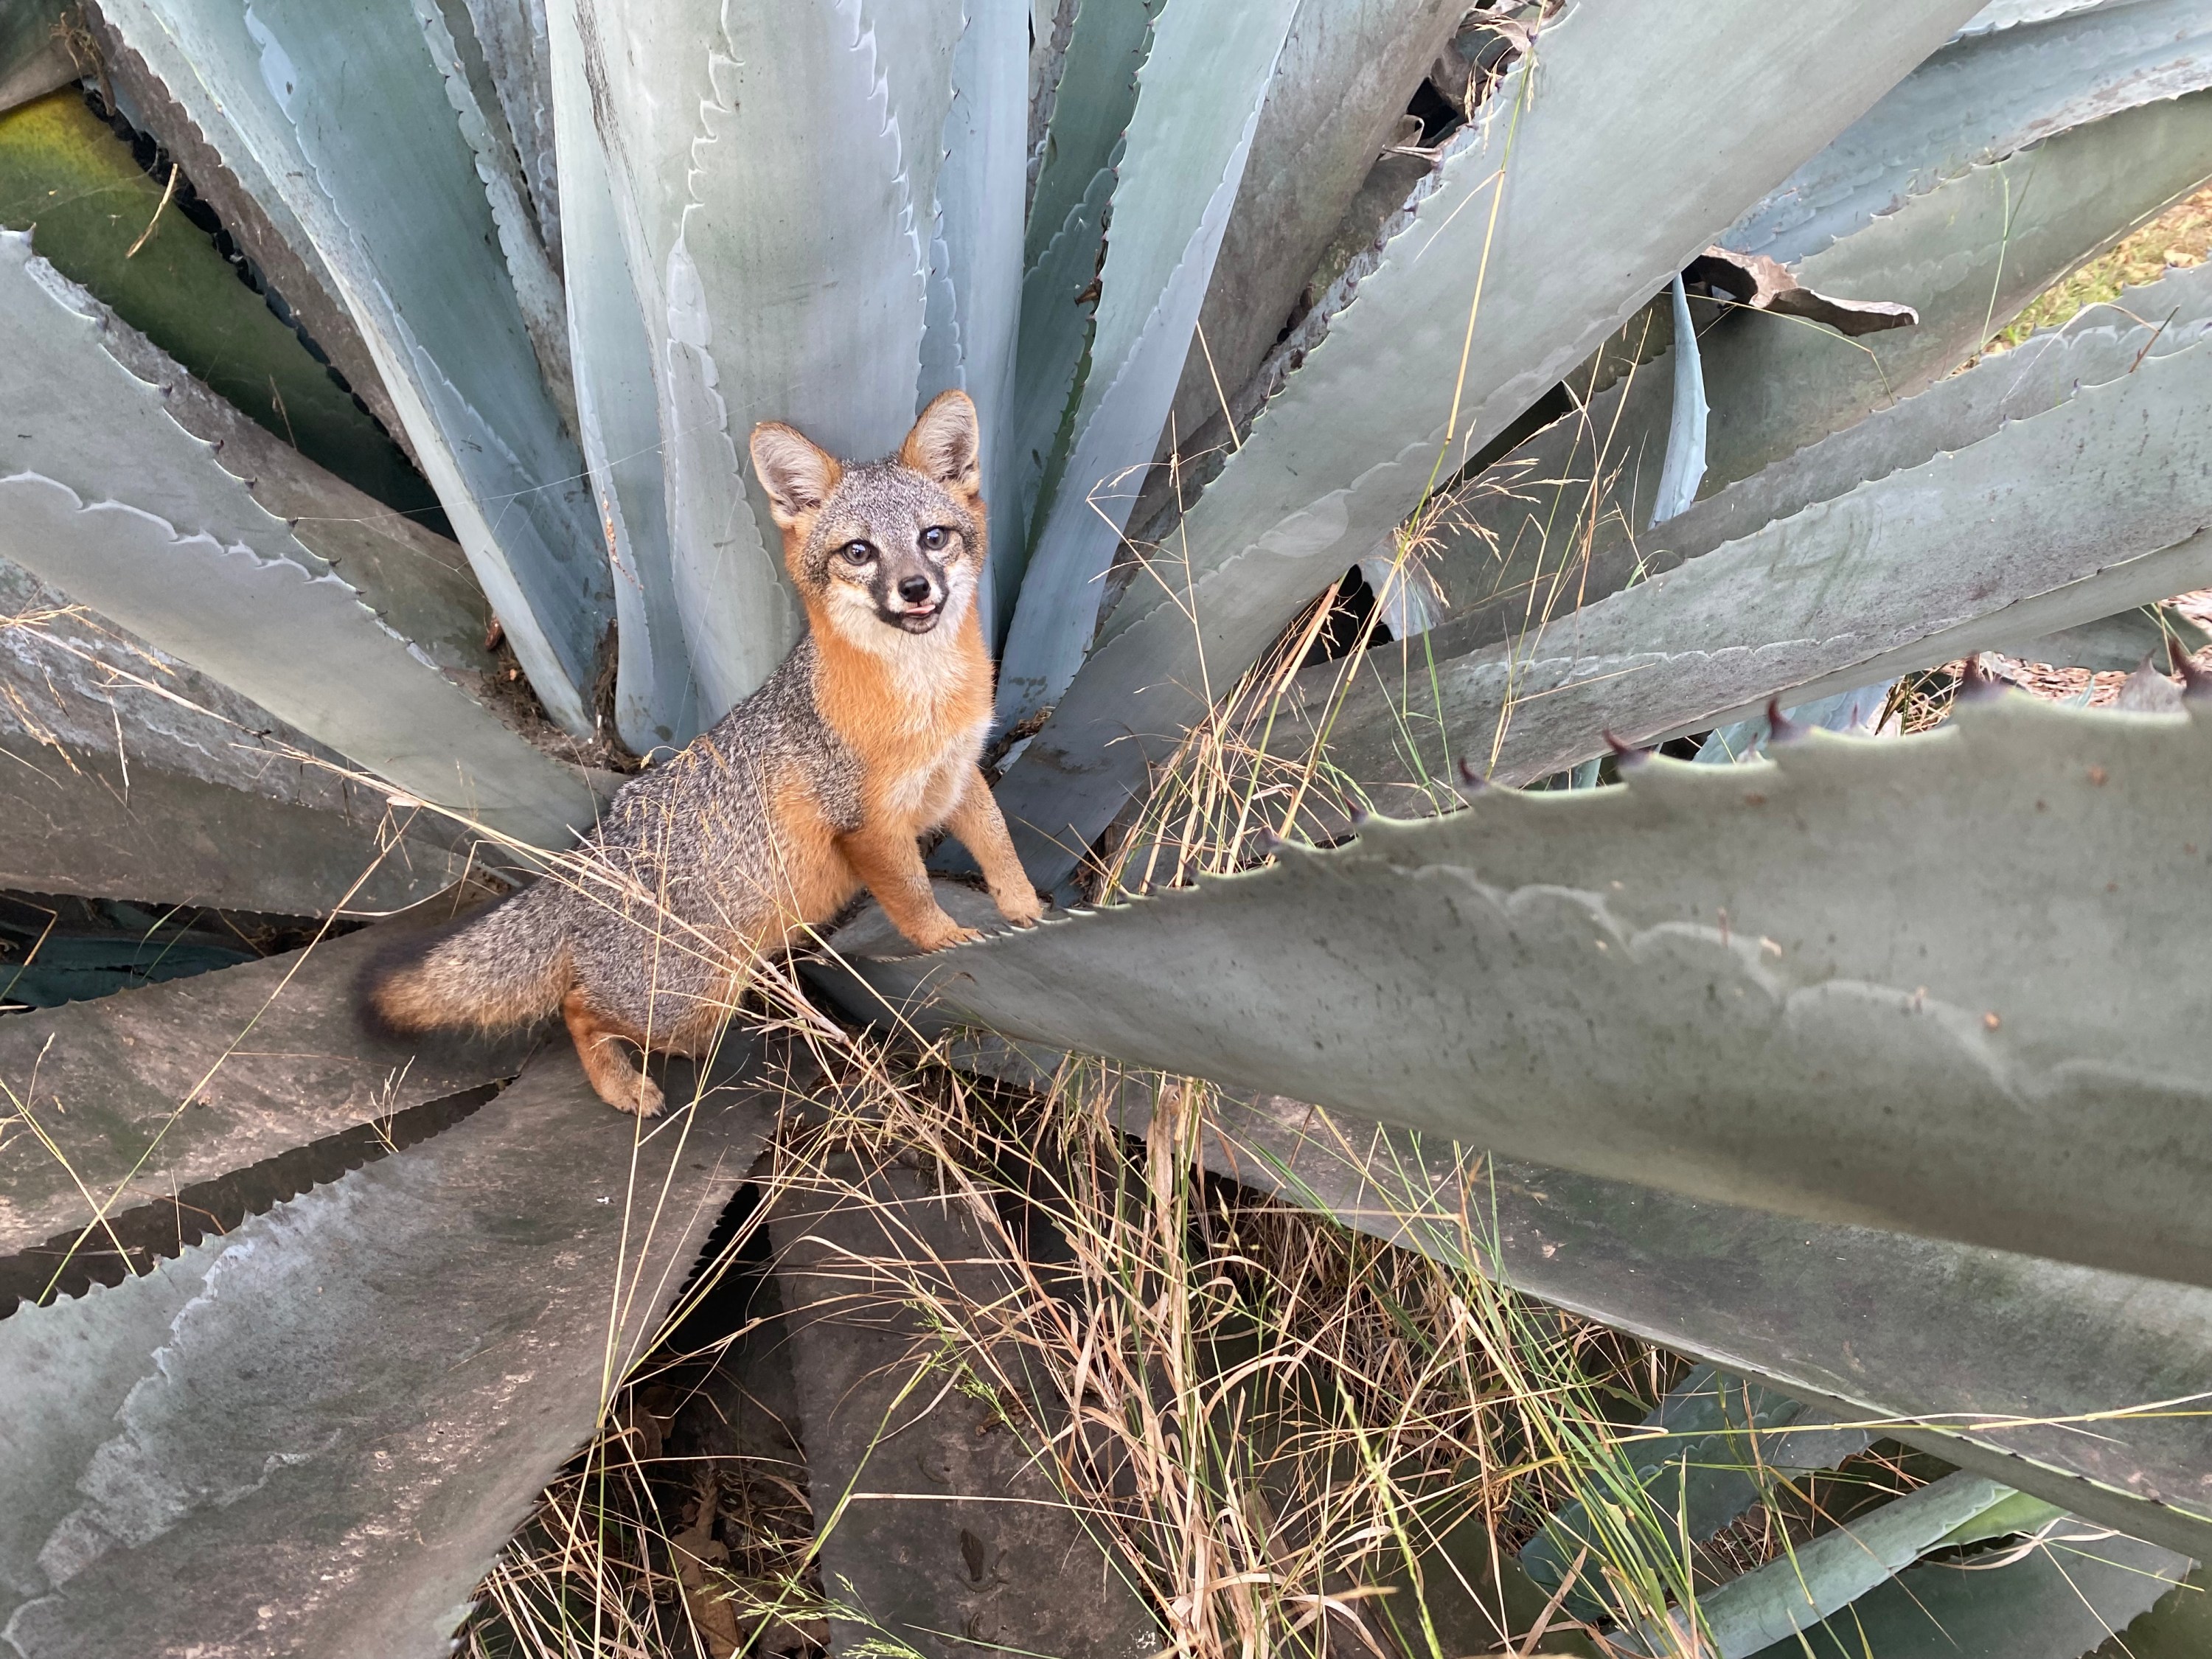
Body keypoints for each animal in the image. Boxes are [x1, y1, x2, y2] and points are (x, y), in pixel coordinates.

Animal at [361, 390, 1043, 1116]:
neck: (926, 702)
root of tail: (582, 869)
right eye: (859, 552)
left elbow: (1000, 847)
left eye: (933, 538)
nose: (915, 589)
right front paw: (951, 943)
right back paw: (622, 1086)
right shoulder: (868, 827)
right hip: (691, 1001)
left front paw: (1027, 914)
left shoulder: (959, 774)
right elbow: (914, 902)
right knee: (578, 1009)